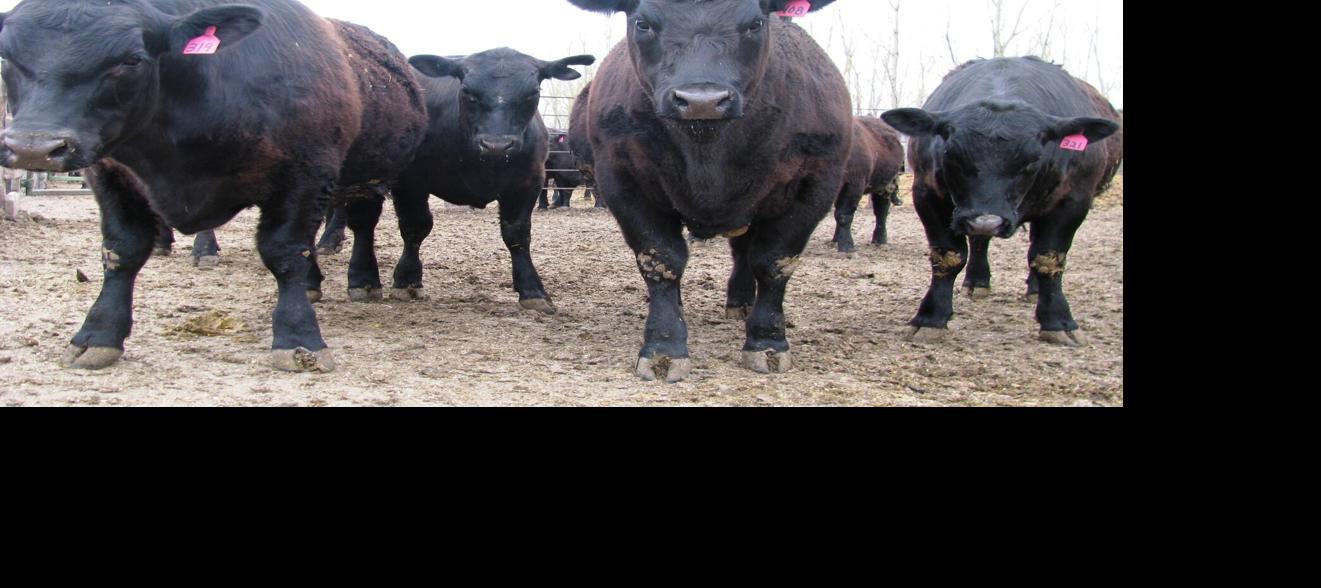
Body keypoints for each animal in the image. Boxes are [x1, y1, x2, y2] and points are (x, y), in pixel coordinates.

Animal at [0, 0, 427, 372]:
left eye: (132, 59)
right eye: (5, 56)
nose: (33, 146)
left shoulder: (306, 175)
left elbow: (285, 253)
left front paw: (298, 338)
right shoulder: (110, 173)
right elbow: (122, 250)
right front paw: (98, 334)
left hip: (367, 181)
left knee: (360, 227)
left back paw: (364, 281)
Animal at [376, 48, 594, 313]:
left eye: (532, 92)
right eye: (467, 91)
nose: (497, 145)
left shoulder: (528, 183)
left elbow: (517, 234)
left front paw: (532, 289)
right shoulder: (409, 181)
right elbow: (415, 227)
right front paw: (406, 280)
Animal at [564, 0, 851, 383]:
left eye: (755, 23)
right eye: (642, 23)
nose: (702, 100)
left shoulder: (816, 182)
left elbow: (774, 262)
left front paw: (767, 343)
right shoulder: (622, 179)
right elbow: (661, 260)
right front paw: (664, 346)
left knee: (745, 252)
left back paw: (741, 303)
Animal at [830, 115, 905, 254]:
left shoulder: (853, 185)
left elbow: (844, 215)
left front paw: (847, 246)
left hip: (884, 186)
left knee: (881, 211)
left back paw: (879, 240)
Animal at [882, 57, 1123, 347]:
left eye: (1033, 159)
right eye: (951, 154)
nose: (986, 220)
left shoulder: (1073, 201)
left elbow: (1048, 258)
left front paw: (1058, 321)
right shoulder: (928, 195)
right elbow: (947, 256)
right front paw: (931, 318)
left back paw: (1034, 290)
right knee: (980, 242)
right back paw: (977, 282)